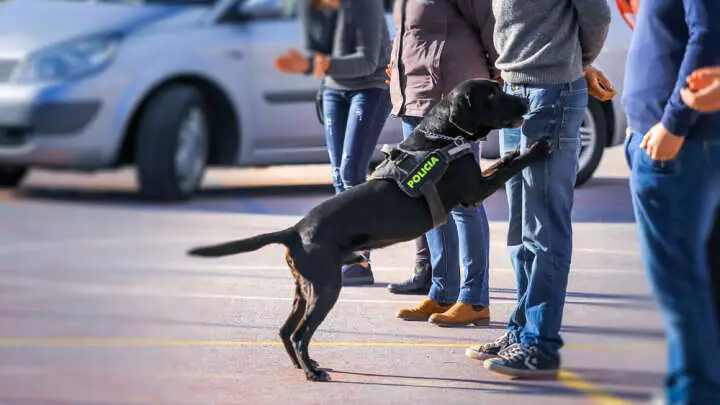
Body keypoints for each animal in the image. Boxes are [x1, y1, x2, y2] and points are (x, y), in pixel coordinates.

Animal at [187, 79, 552, 382]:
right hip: (326, 288)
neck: (442, 137)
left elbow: (504, 162)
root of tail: (295, 229)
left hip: (304, 289)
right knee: (300, 333)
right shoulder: (474, 192)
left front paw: (519, 148)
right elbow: (508, 168)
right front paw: (537, 149)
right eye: (491, 94)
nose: (525, 102)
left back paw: (303, 365)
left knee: (285, 330)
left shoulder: (477, 183)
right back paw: (312, 372)